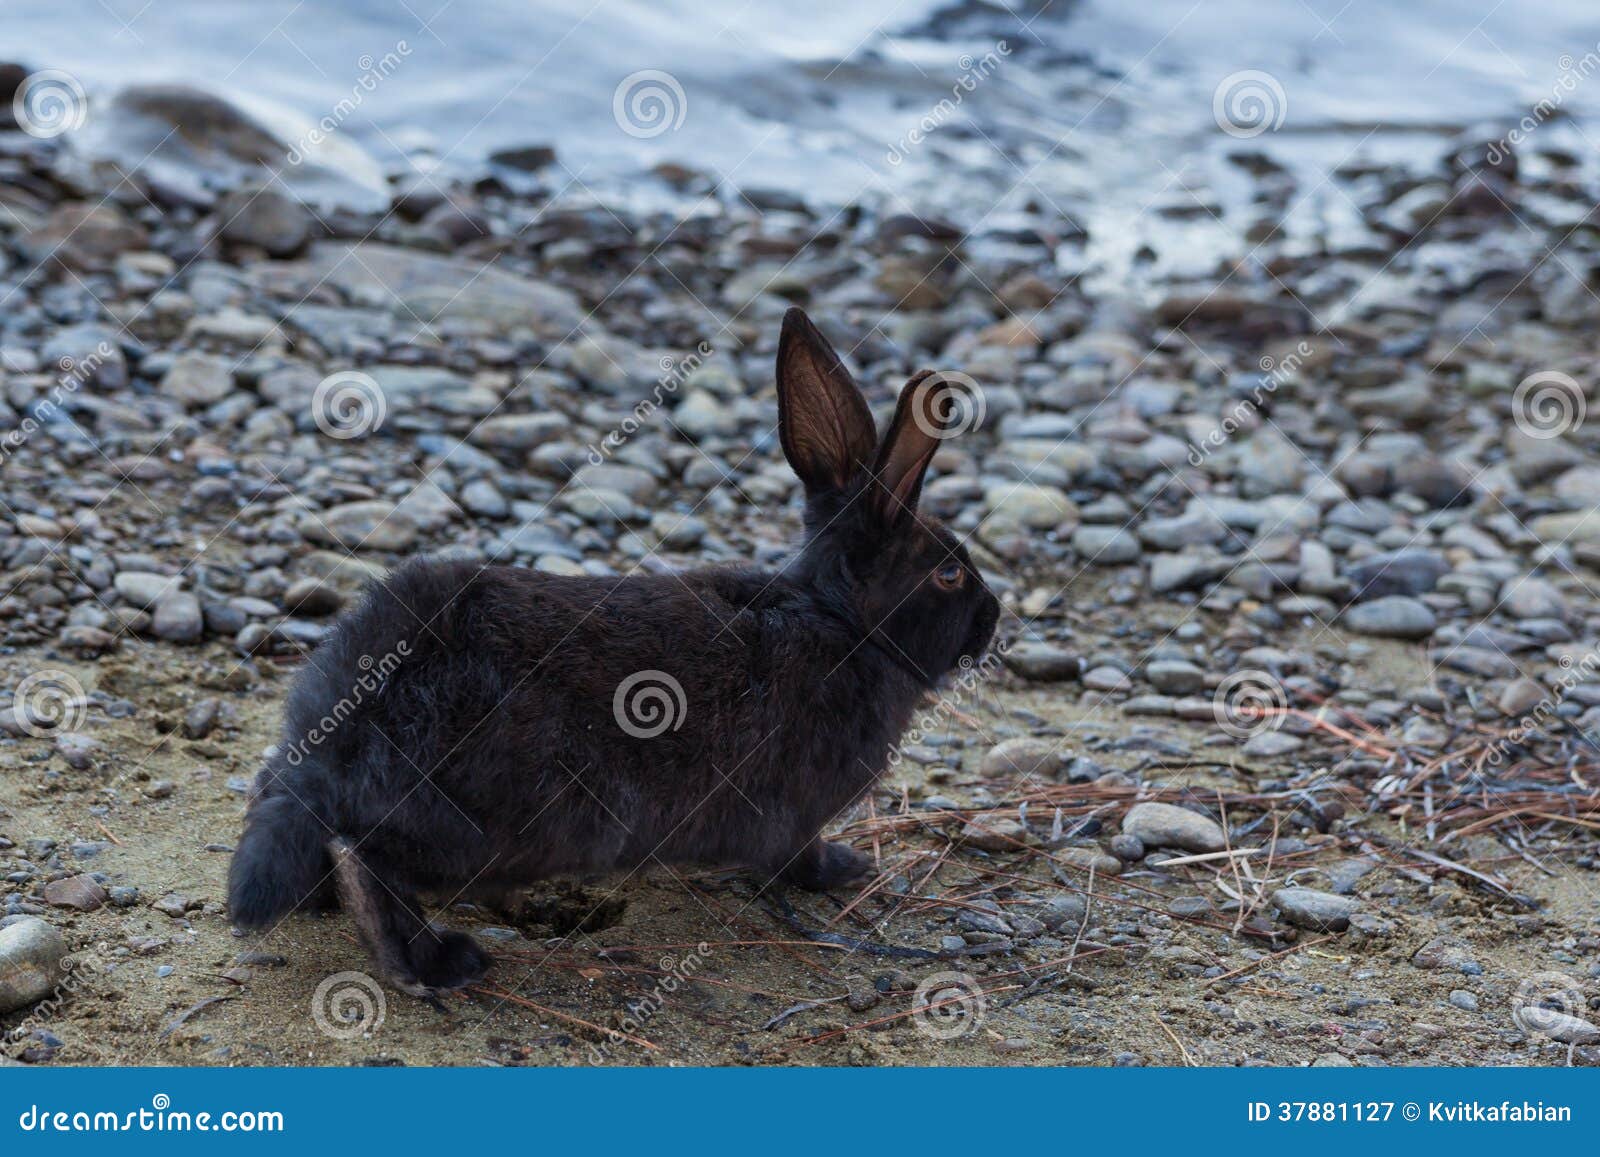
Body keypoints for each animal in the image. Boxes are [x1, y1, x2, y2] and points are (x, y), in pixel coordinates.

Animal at [227, 307, 1000, 997]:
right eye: (949, 573)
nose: (993, 622)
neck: (843, 620)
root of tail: (338, 748)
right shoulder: (797, 814)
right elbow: (795, 857)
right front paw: (846, 868)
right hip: (479, 827)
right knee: (366, 860)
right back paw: (436, 965)